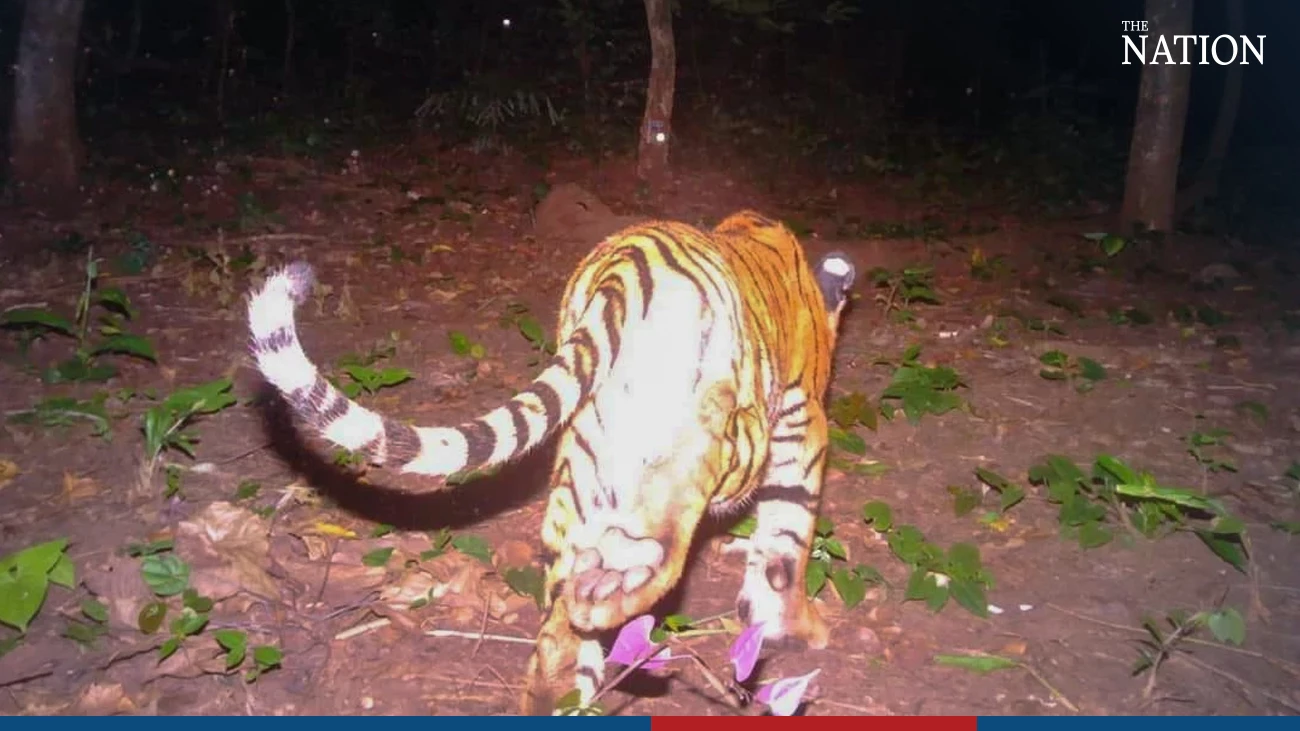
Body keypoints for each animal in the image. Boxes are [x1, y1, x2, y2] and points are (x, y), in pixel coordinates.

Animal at [247, 210, 856, 715]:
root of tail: (622, 268)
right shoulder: (802, 428)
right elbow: (787, 544)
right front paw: (800, 630)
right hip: (706, 441)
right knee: (659, 532)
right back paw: (616, 590)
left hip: (580, 471)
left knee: (558, 637)